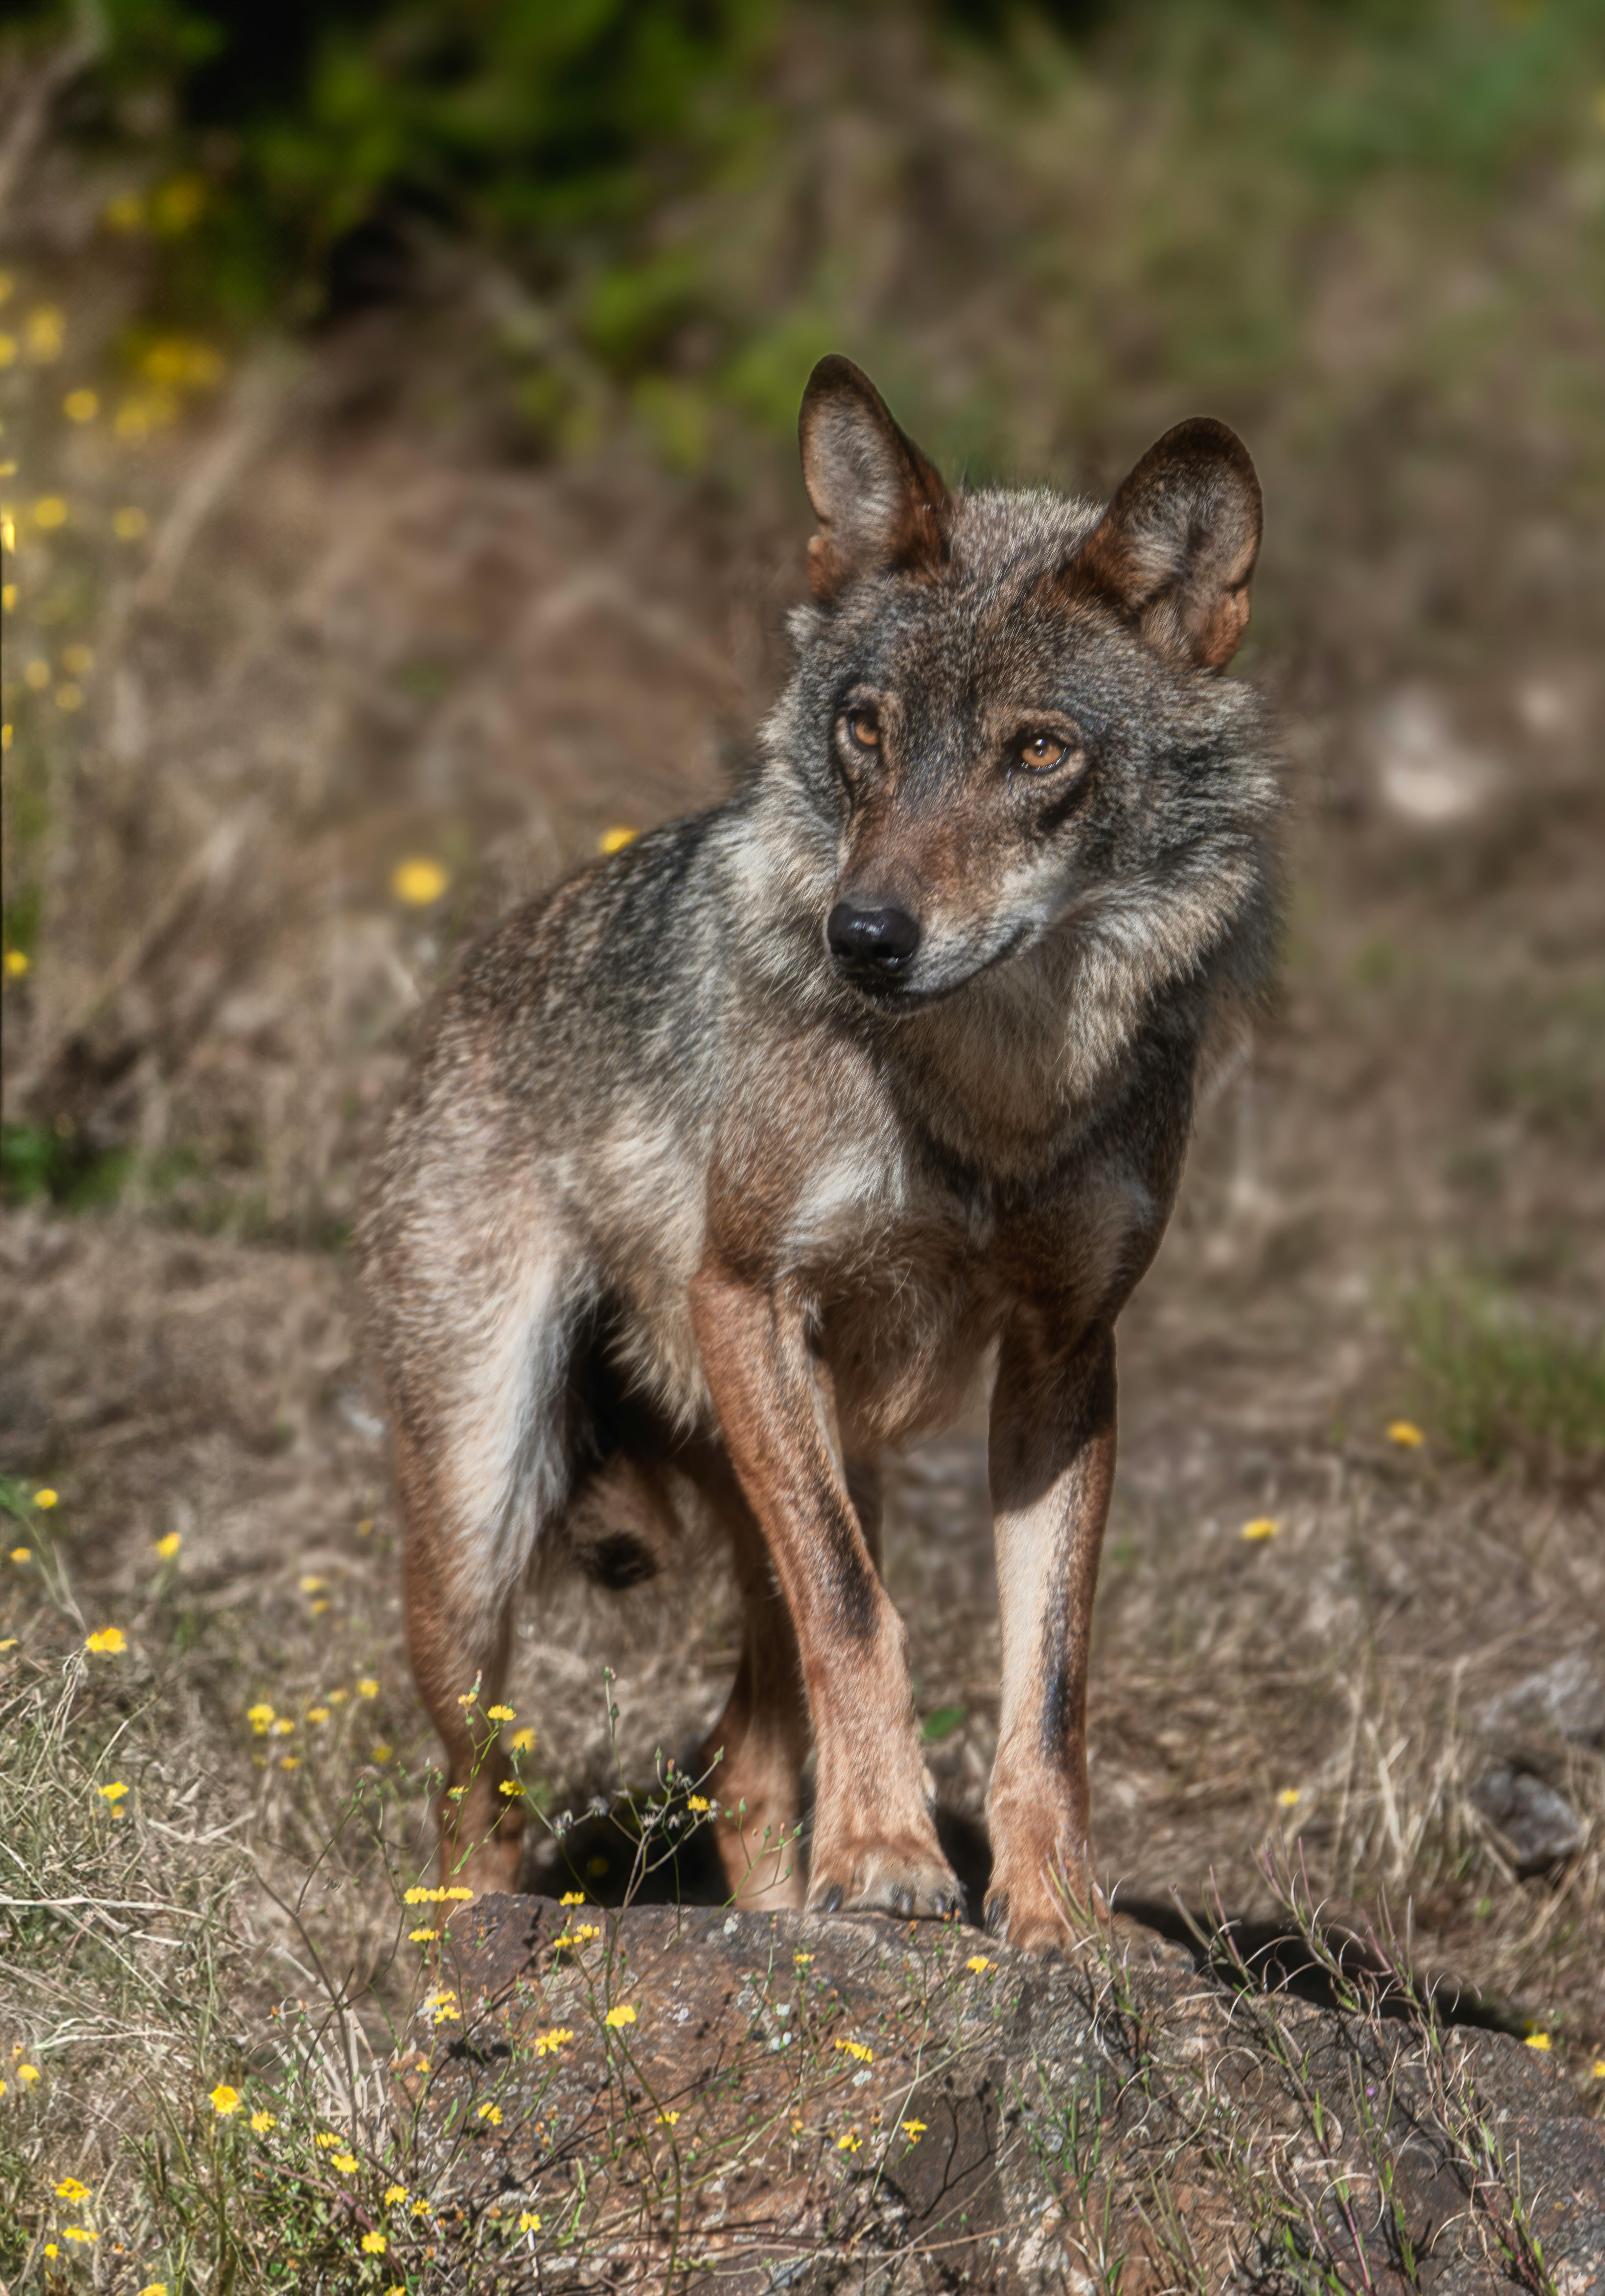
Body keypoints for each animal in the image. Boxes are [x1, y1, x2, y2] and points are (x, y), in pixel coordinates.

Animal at [354, 355, 1278, 1948]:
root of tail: (459, 991)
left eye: (1038, 750)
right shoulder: (745, 1293)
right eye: (866, 728)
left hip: (805, 1455)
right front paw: (894, 1860)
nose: (865, 936)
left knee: (740, 1758)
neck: (995, 1089)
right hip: (485, 1511)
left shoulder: (1067, 1354)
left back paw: (784, 1921)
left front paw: (1056, 1914)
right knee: (479, 1801)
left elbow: (1048, 1680)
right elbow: (860, 1612)